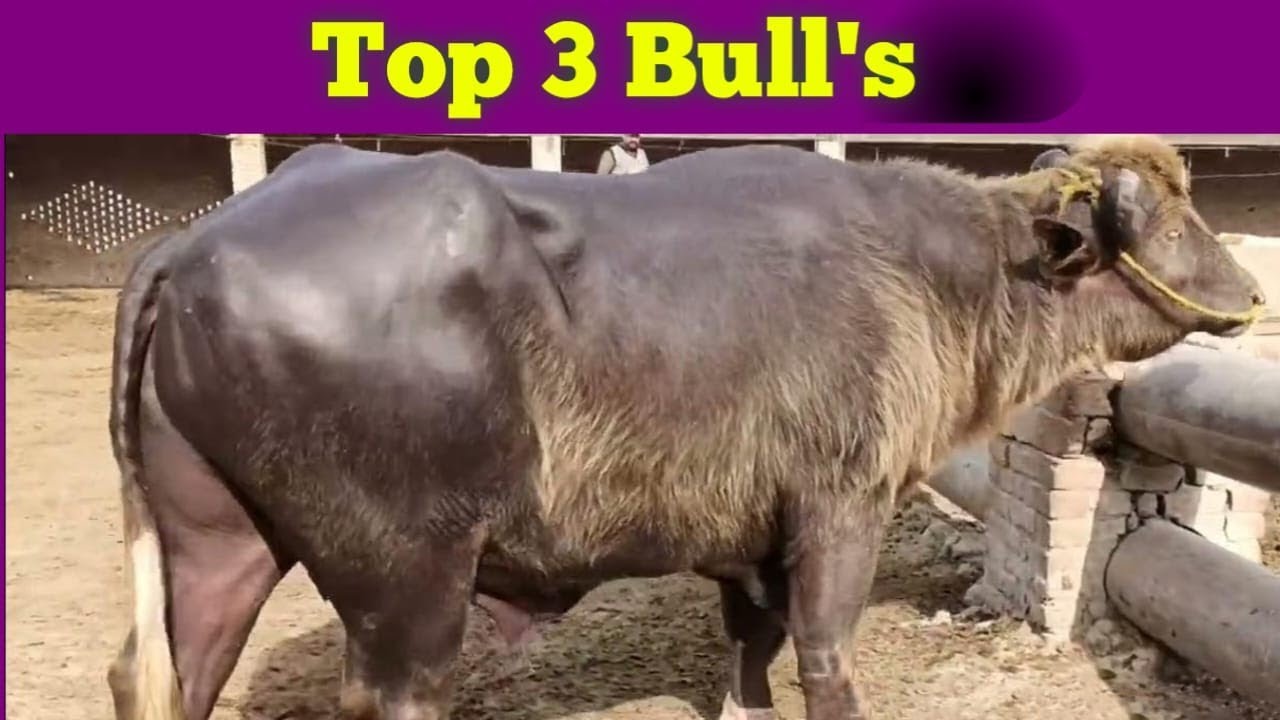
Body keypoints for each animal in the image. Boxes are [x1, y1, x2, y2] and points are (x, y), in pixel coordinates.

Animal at [105, 135, 1265, 720]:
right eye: (1164, 220)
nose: (1252, 292)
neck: (918, 270)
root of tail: (195, 245)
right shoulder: (840, 507)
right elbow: (824, 656)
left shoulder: (746, 540)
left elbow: (750, 653)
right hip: (409, 585)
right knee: (398, 696)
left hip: (220, 547)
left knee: (163, 673)